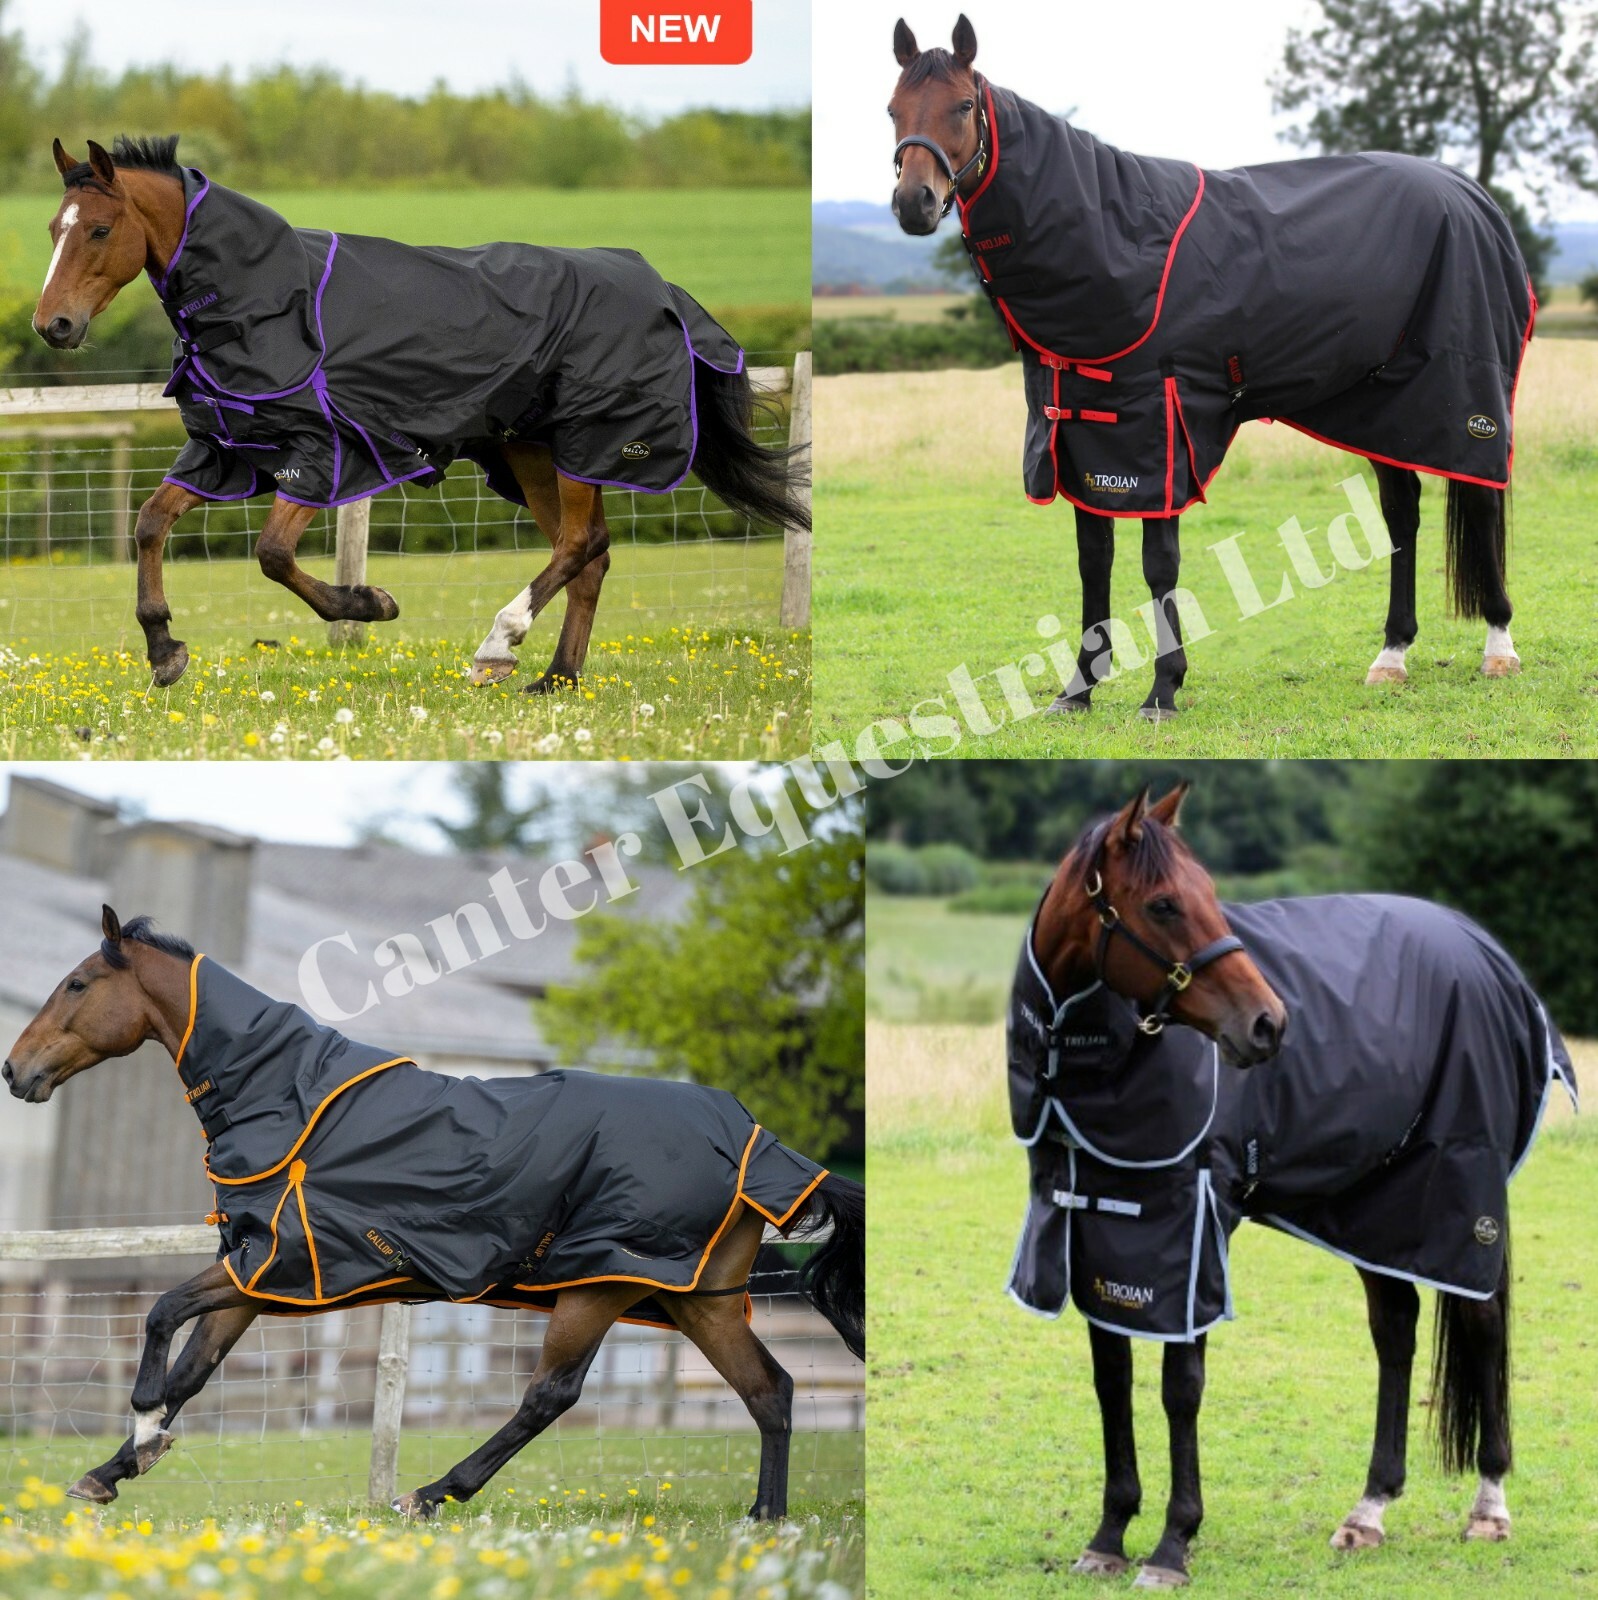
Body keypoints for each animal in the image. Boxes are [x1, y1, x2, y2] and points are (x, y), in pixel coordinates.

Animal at [2, 908, 863, 1520]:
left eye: (78, 984)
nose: (15, 1070)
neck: (287, 1099)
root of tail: (755, 1137)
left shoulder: (276, 1266)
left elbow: (159, 1319)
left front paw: (144, 1430)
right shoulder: (257, 1277)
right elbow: (193, 1366)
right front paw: (112, 1469)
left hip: (600, 1284)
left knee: (550, 1396)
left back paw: (429, 1493)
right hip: (694, 1299)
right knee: (771, 1392)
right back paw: (765, 1518)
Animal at [33, 136, 807, 693]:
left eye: (98, 228)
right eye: (51, 228)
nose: (53, 326)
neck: (264, 300)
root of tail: (660, 285)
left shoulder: (324, 452)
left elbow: (273, 554)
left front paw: (371, 602)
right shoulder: (225, 451)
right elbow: (149, 523)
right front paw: (164, 648)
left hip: (589, 445)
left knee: (580, 545)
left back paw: (499, 646)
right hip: (531, 451)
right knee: (591, 552)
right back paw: (555, 678)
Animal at [888, 17, 1534, 719]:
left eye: (963, 106)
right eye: (892, 109)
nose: (914, 203)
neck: (1112, 241)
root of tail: (1471, 195)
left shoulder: (1161, 427)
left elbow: (1158, 563)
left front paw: (1163, 689)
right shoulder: (1082, 432)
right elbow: (1094, 558)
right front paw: (1078, 689)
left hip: (1461, 396)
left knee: (1482, 500)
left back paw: (1498, 647)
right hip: (1386, 409)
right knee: (1402, 511)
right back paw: (1392, 654)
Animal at [1007, 784, 1574, 1586]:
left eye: (1211, 894)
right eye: (1163, 905)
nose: (1268, 1023)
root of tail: (1485, 952)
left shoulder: (1192, 1228)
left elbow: (1181, 1387)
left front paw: (1173, 1545)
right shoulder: (1093, 1222)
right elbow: (1110, 1377)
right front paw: (1109, 1535)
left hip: (1463, 1194)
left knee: (1482, 1319)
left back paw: (1488, 1507)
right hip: (1380, 1207)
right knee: (1395, 1327)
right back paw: (1368, 1511)